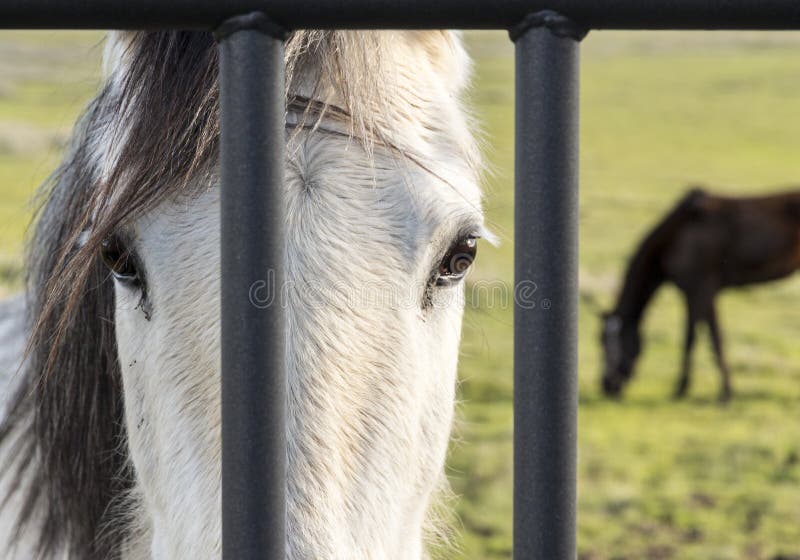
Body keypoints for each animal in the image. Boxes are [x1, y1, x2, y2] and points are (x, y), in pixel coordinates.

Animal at [600, 187, 800, 402]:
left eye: (607, 345)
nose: (605, 386)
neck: (676, 235)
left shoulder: (702, 290)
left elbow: (709, 339)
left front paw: (720, 394)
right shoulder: (693, 294)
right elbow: (696, 337)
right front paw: (686, 389)